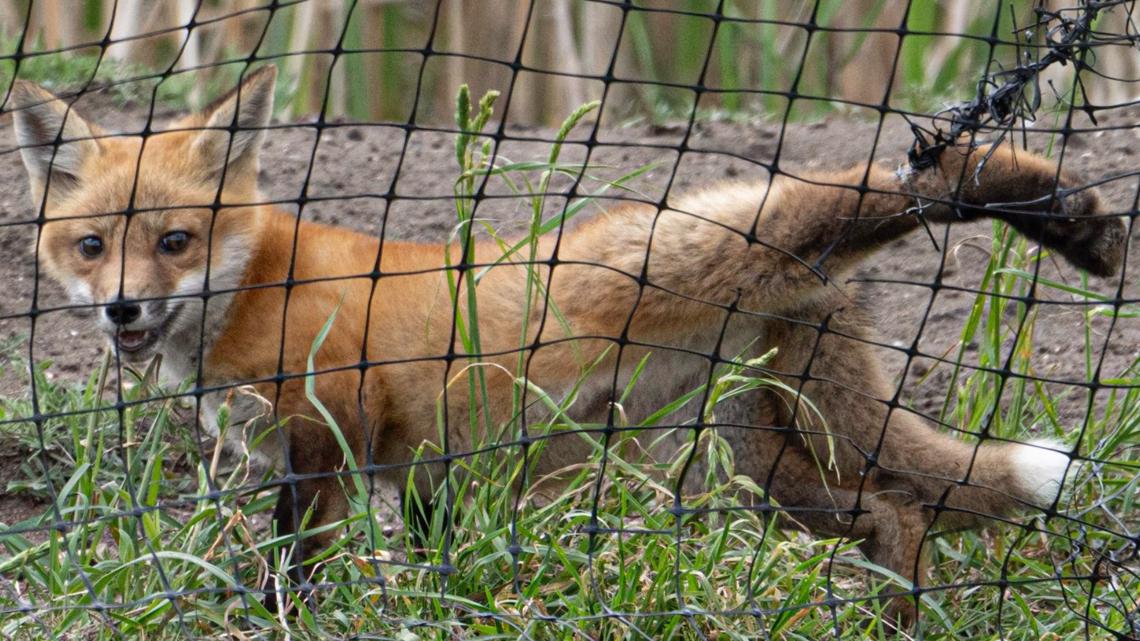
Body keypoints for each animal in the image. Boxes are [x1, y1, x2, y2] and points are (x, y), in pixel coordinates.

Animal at [9, 65, 1127, 621]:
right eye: (92, 244)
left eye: (175, 241)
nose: (121, 311)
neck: (259, 282)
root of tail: (825, 292)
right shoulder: (378, 461)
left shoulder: (325, 436)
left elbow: (296, 572)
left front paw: (286, 619)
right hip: (755, 468)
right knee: (897, 510)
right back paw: (900, 613)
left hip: (730, 258)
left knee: (891, 186)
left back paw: (1054, 208)